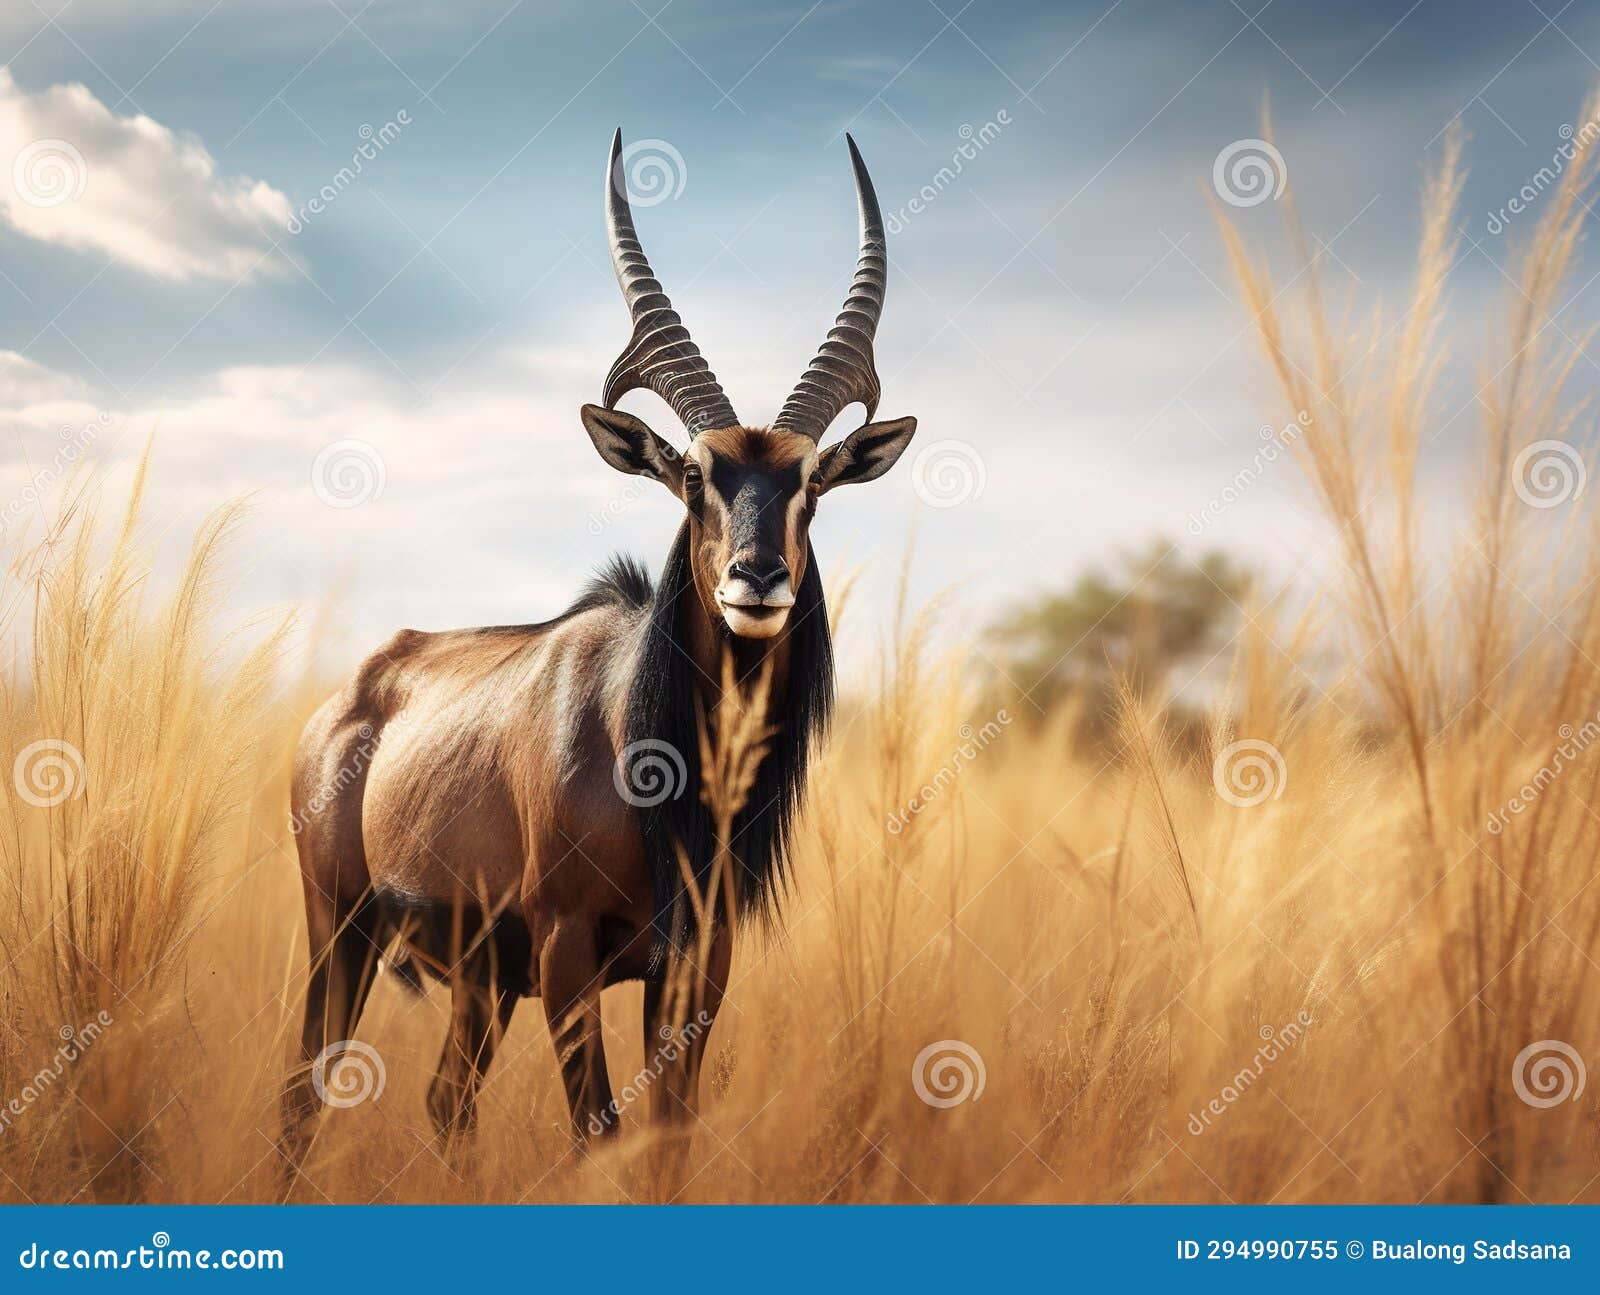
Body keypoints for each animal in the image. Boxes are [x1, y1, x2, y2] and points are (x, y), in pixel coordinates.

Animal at [281, 130, 918, 1163]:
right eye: (694, 473)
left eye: (812, 482)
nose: (757, 579)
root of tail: (357, 694)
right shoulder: (567, 948)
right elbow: (598, 1130)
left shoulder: (696, 965)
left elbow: (664, 1139)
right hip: (340, 930)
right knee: (300, 1095)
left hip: (478, 981)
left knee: (445, 1100)